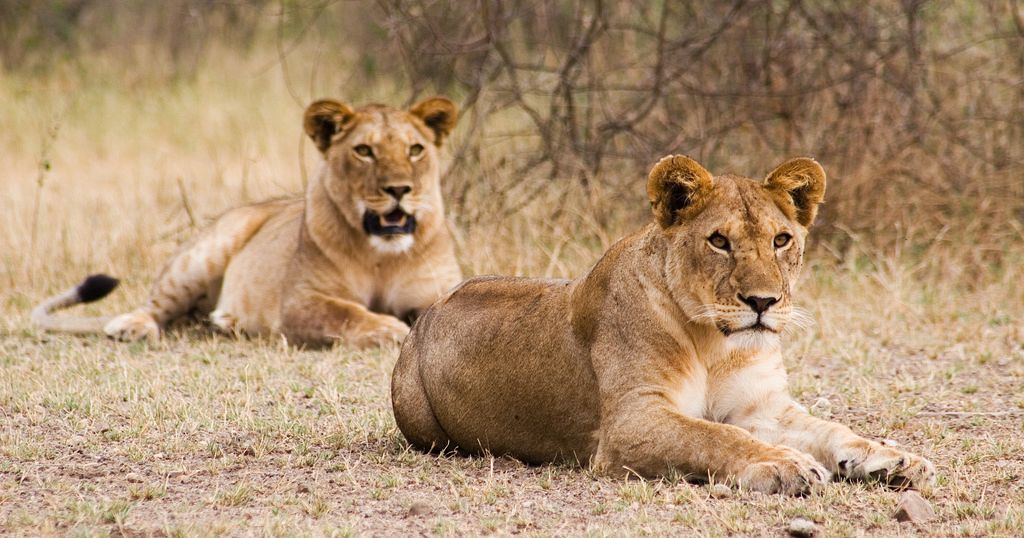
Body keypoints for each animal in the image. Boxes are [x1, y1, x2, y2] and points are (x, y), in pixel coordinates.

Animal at [32, 97, 463, 348]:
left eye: (415, 149)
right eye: (364, 151)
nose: (400, 189)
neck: (382, 256)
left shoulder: (437, 291)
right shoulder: (301, 301)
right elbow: (347, 313)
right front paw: (390, 328)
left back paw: (225, 322)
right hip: (204, 253)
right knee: (154, 306)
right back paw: (133, 326)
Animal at [392, 155, 936, 494]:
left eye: (781, 240)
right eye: (719, 241)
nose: (763, 301)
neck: (717, 344)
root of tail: (429, 312)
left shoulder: (762, 407)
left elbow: (832, 429)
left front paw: (892, 457)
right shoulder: (632, 421)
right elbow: (715, 437)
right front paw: (782, 463)